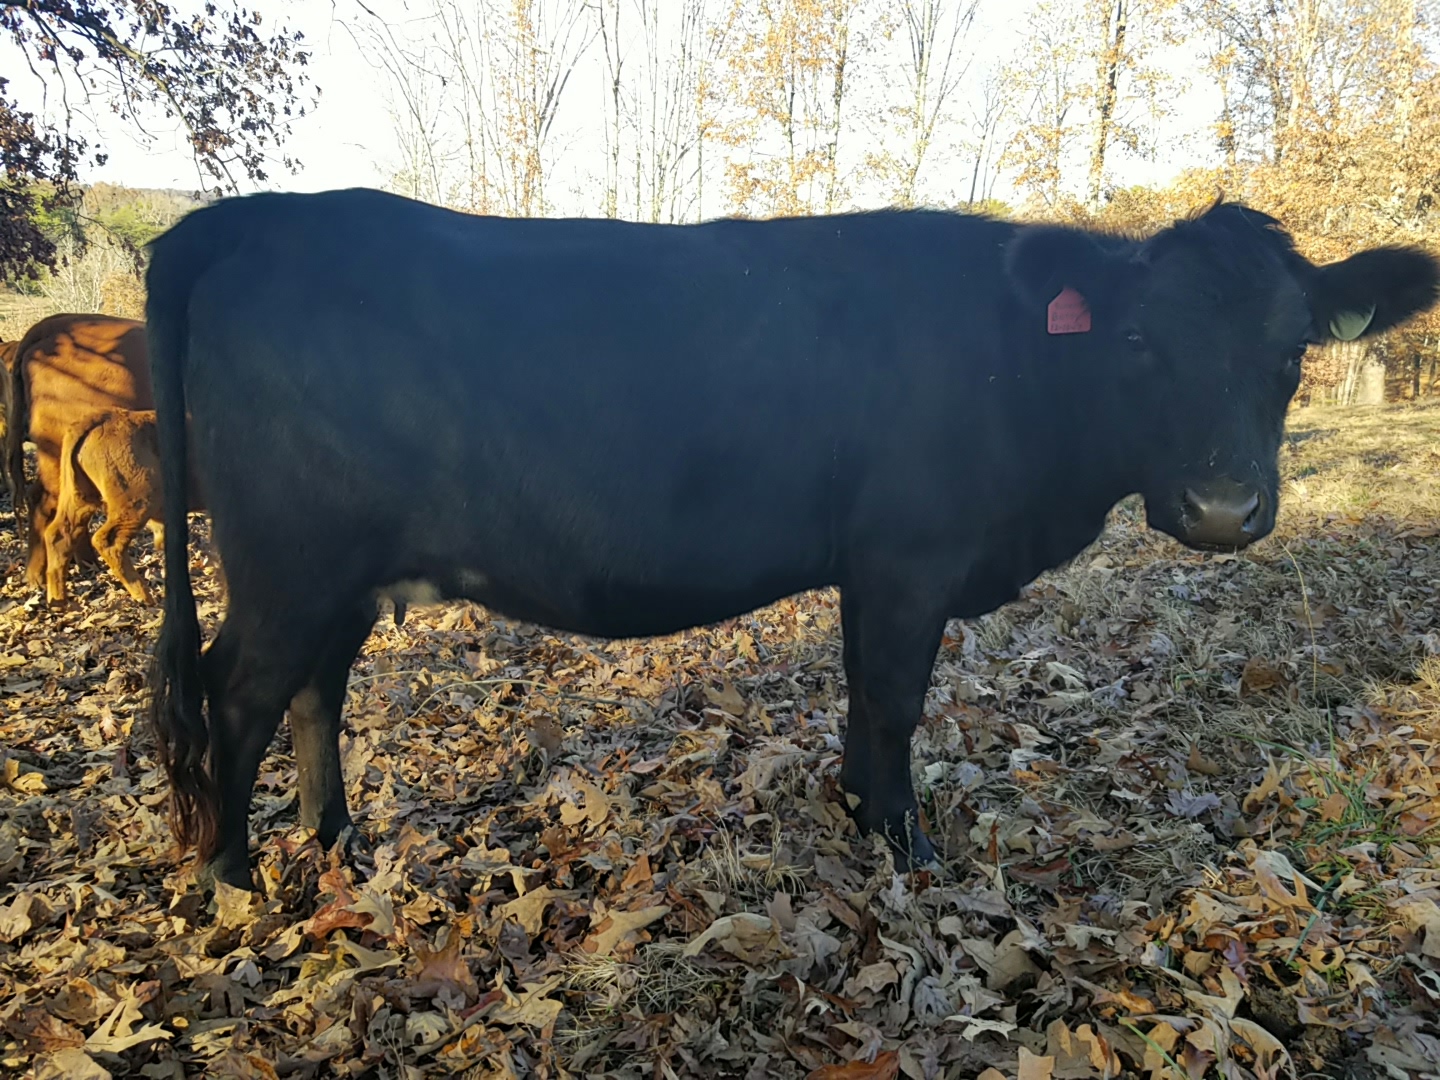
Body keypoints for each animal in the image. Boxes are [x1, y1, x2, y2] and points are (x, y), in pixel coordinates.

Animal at [44, 407, 169, 606]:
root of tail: (104, 417)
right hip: (137, 506)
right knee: (109, 542)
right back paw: (144, 597)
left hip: (80, 500)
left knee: (59, 535)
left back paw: (58, 602)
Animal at [144, 188, 1440, 890]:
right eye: (1137, 343)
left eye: (1292, 351)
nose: (1222, 508)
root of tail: (255, 219)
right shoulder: (912, 557)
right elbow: (897, 700)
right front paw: (907, 847)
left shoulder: (872, 568)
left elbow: (864, 693)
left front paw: (859, 810)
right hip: (287, 560)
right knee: (237, 695)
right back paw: (231, 877)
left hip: (338, 573)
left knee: (314, 693)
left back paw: (334, 841)